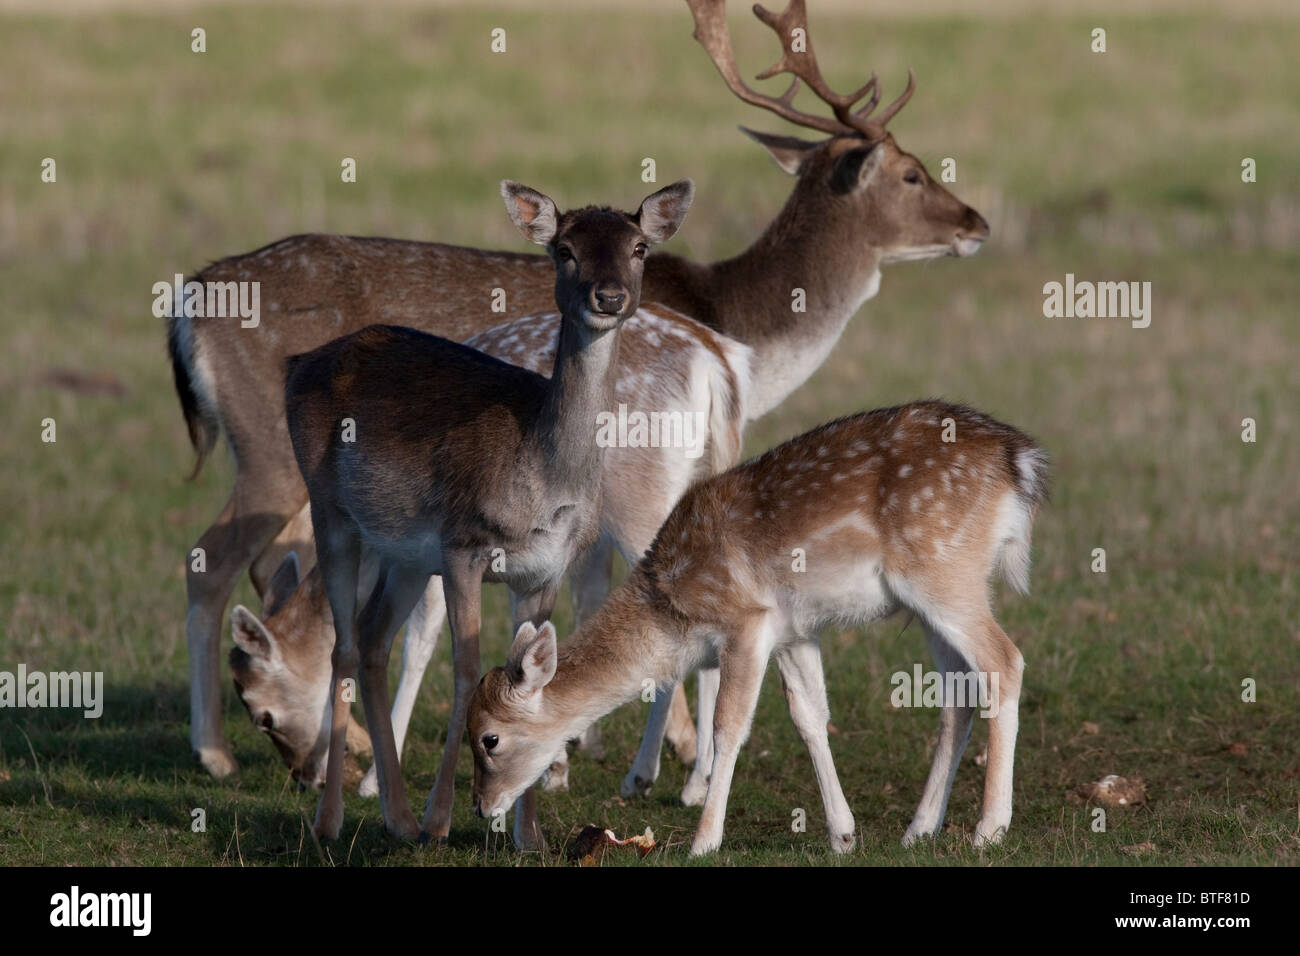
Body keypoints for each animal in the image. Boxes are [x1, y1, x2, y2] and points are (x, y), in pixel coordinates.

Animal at [281, 180, 695, 843]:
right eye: (564, 250)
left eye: (639, 248)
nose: (609, 296)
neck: (545, 484)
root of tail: (297, 364)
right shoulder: (463, 546)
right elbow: (465, 666)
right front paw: (443, 819)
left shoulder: (546, 568)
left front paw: (529, 835)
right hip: (331, 510)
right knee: (342, 645)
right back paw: (332, 820)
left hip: (405, 555)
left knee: (372, 640)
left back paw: (396, 816)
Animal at [468, 401, 1048, 856]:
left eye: (489, 739)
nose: (480, 808)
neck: (672, 612)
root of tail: (1021, 463)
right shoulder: (794, 632)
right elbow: (811, 717)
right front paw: (842, 835)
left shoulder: (745, 620)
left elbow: (729, 725)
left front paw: (703, 841)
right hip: (934, 600)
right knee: (957, 695)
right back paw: (918, 829)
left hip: (944, 572)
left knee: (1005, 662)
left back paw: (989, 830)